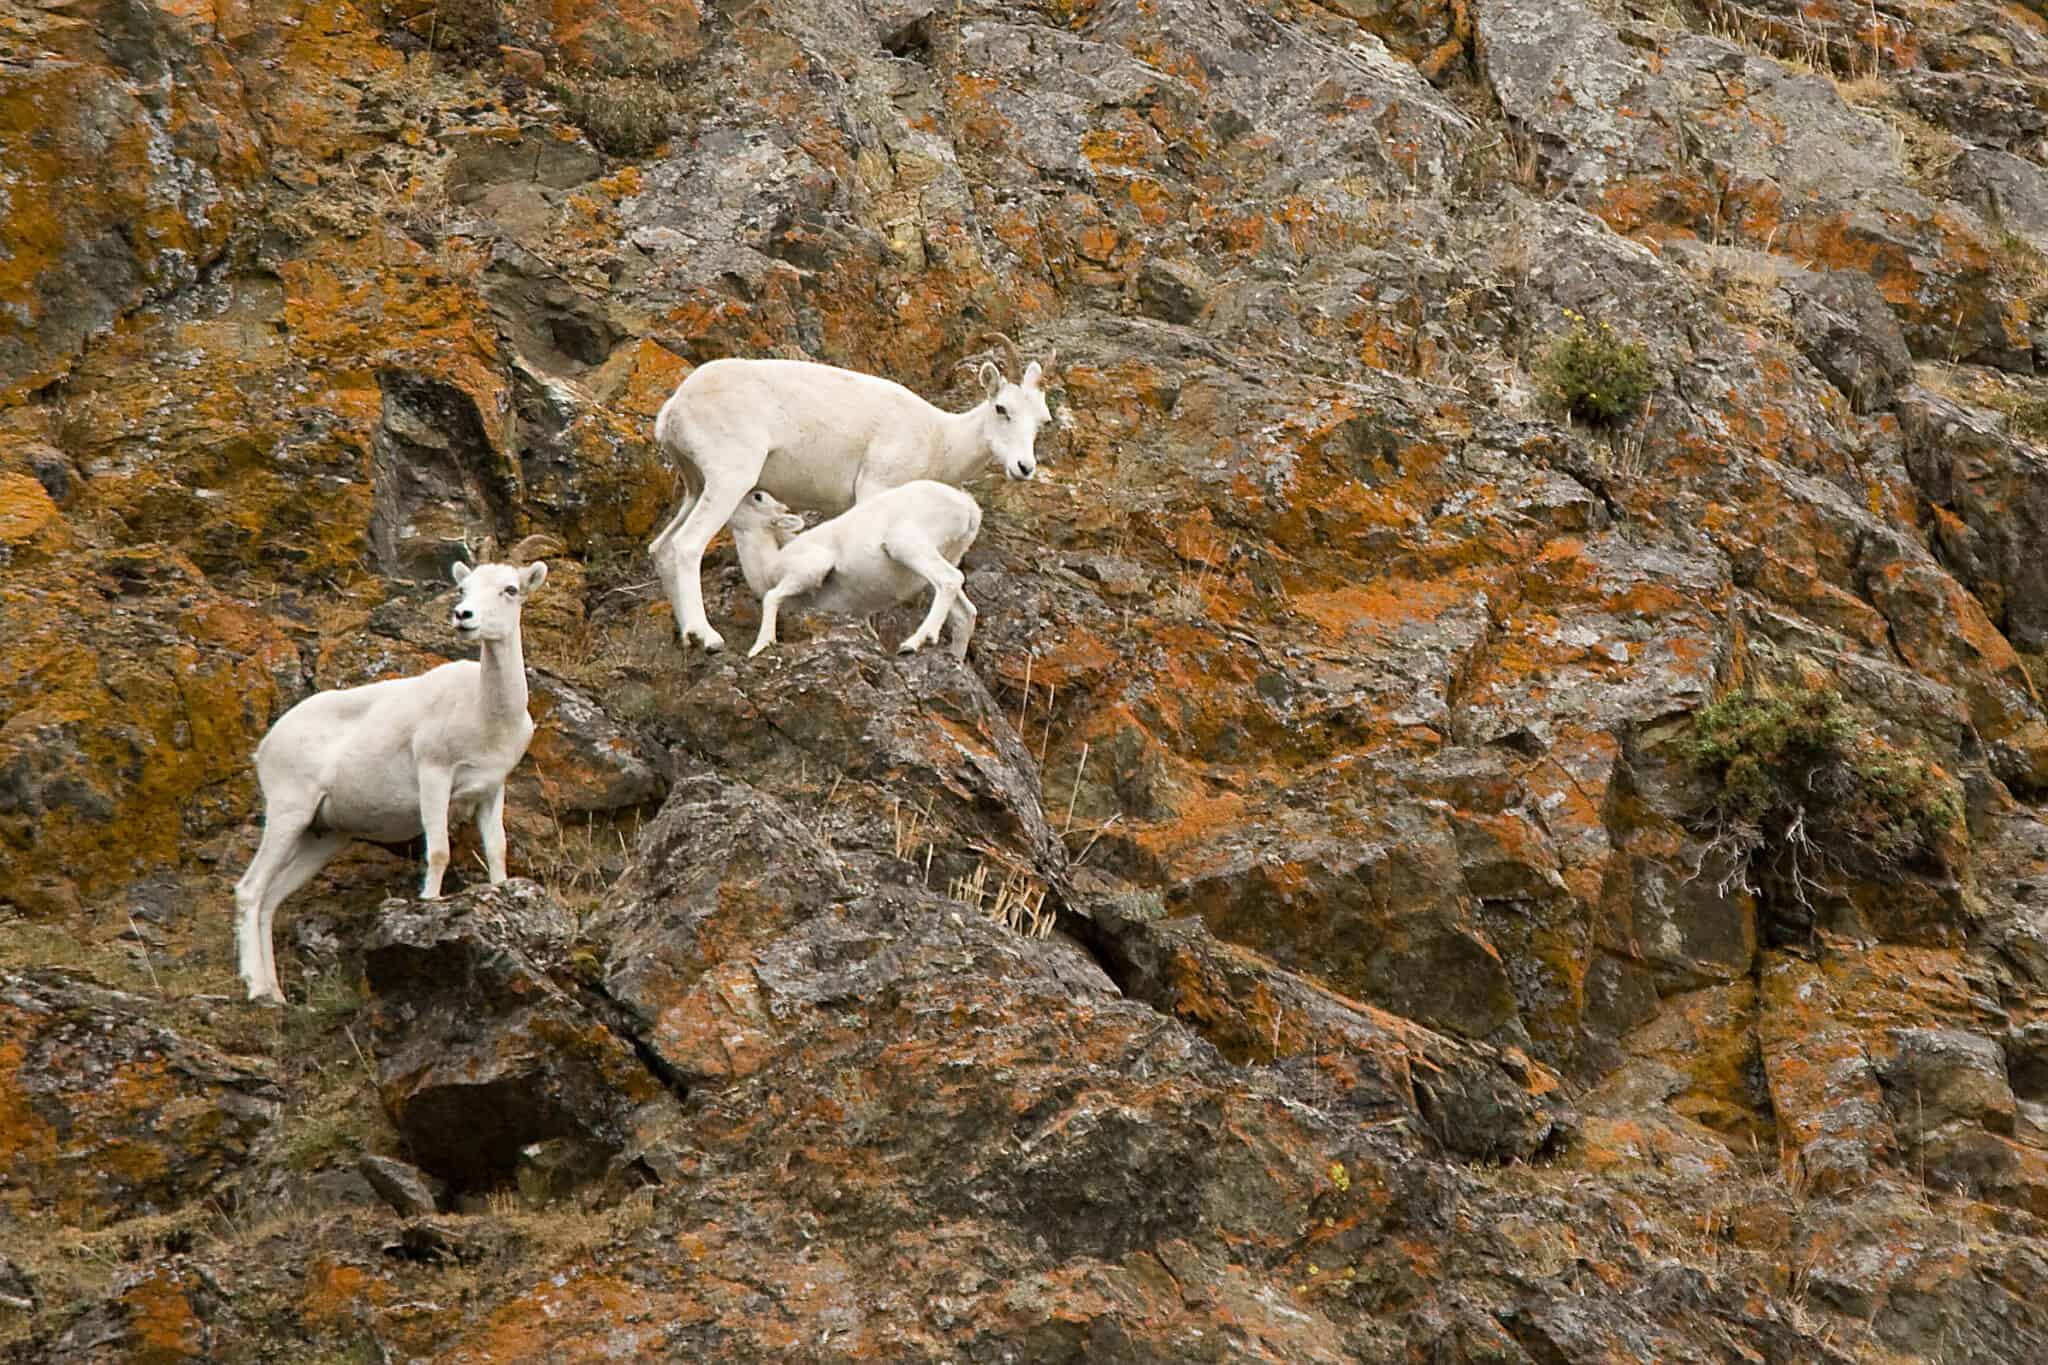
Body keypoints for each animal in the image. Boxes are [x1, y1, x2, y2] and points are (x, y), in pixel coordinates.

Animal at [233, 556, 547, 1005]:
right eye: (463, 589)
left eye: (510, 589)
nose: (463, 616)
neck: (485, 714)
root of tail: (267, 745)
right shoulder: (434, 777)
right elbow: (439, 852)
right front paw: (429, 904)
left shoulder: (491, 790)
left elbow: (497, 851)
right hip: (288, 814)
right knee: (250, 891)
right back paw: (257, 989)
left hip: (323, 837)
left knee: (270, 900)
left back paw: (276, 994)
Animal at [727, 481, 983, 660]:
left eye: (757, 496)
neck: (769, 565)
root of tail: (968, 505)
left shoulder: (808, 570)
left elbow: (771, 598)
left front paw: (759, 647)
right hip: (937, 565)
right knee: (965, 613)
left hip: (907, 546)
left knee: (950, 579)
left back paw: (913, 644)